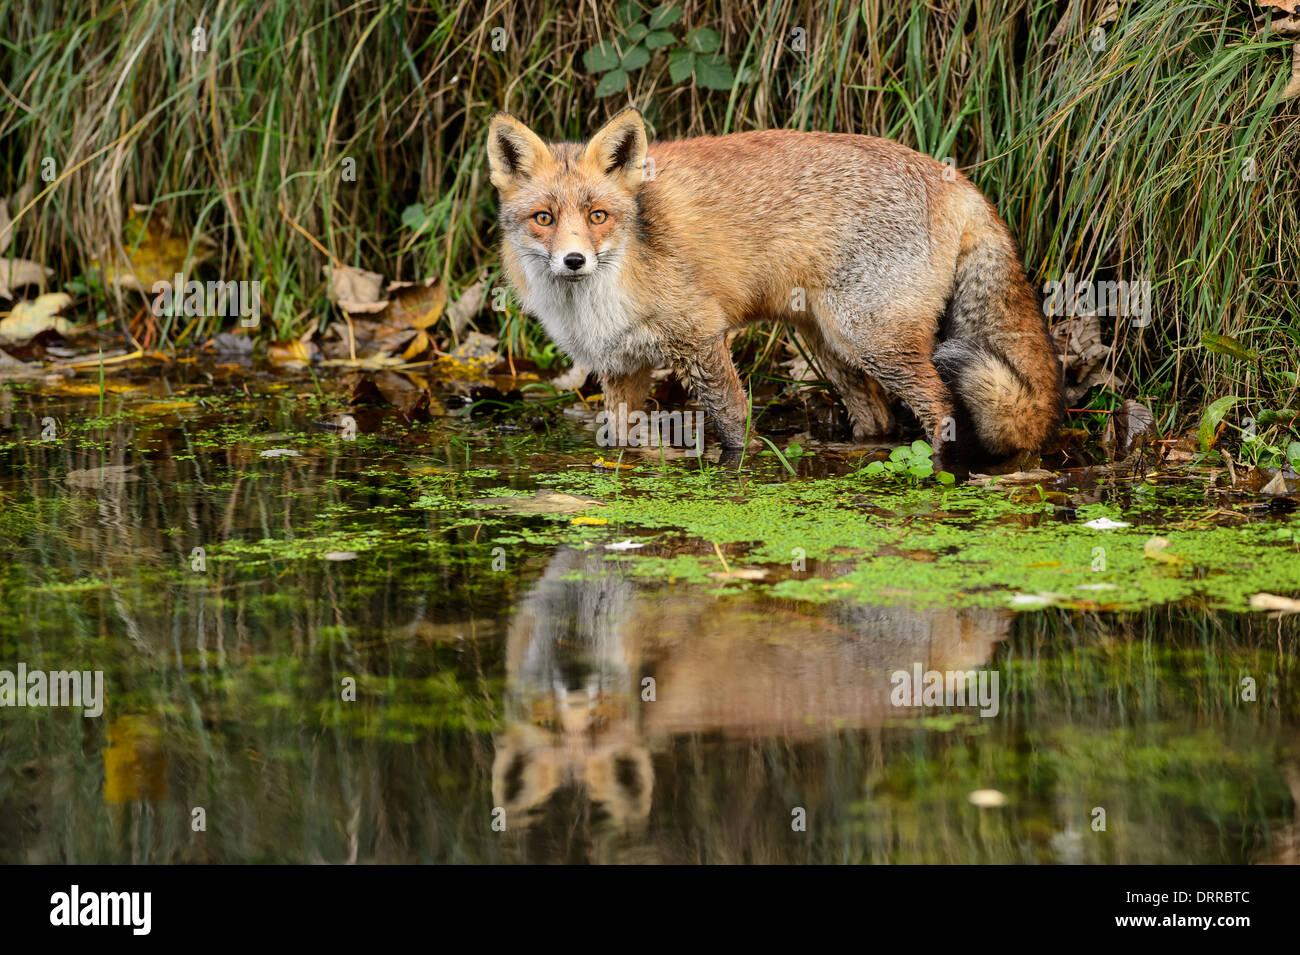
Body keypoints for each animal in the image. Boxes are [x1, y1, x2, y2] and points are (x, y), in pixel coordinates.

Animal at [486, 108, 1063, 465]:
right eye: (543, 218)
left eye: (598, 216)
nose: (574, 260)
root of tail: (955, 178)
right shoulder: (622, 369)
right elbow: (618, 443)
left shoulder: (701, 339)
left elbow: (732, 423)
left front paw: (737, 469)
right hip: (831, 346)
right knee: (877, 418)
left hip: (875, 340)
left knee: (940, 409)